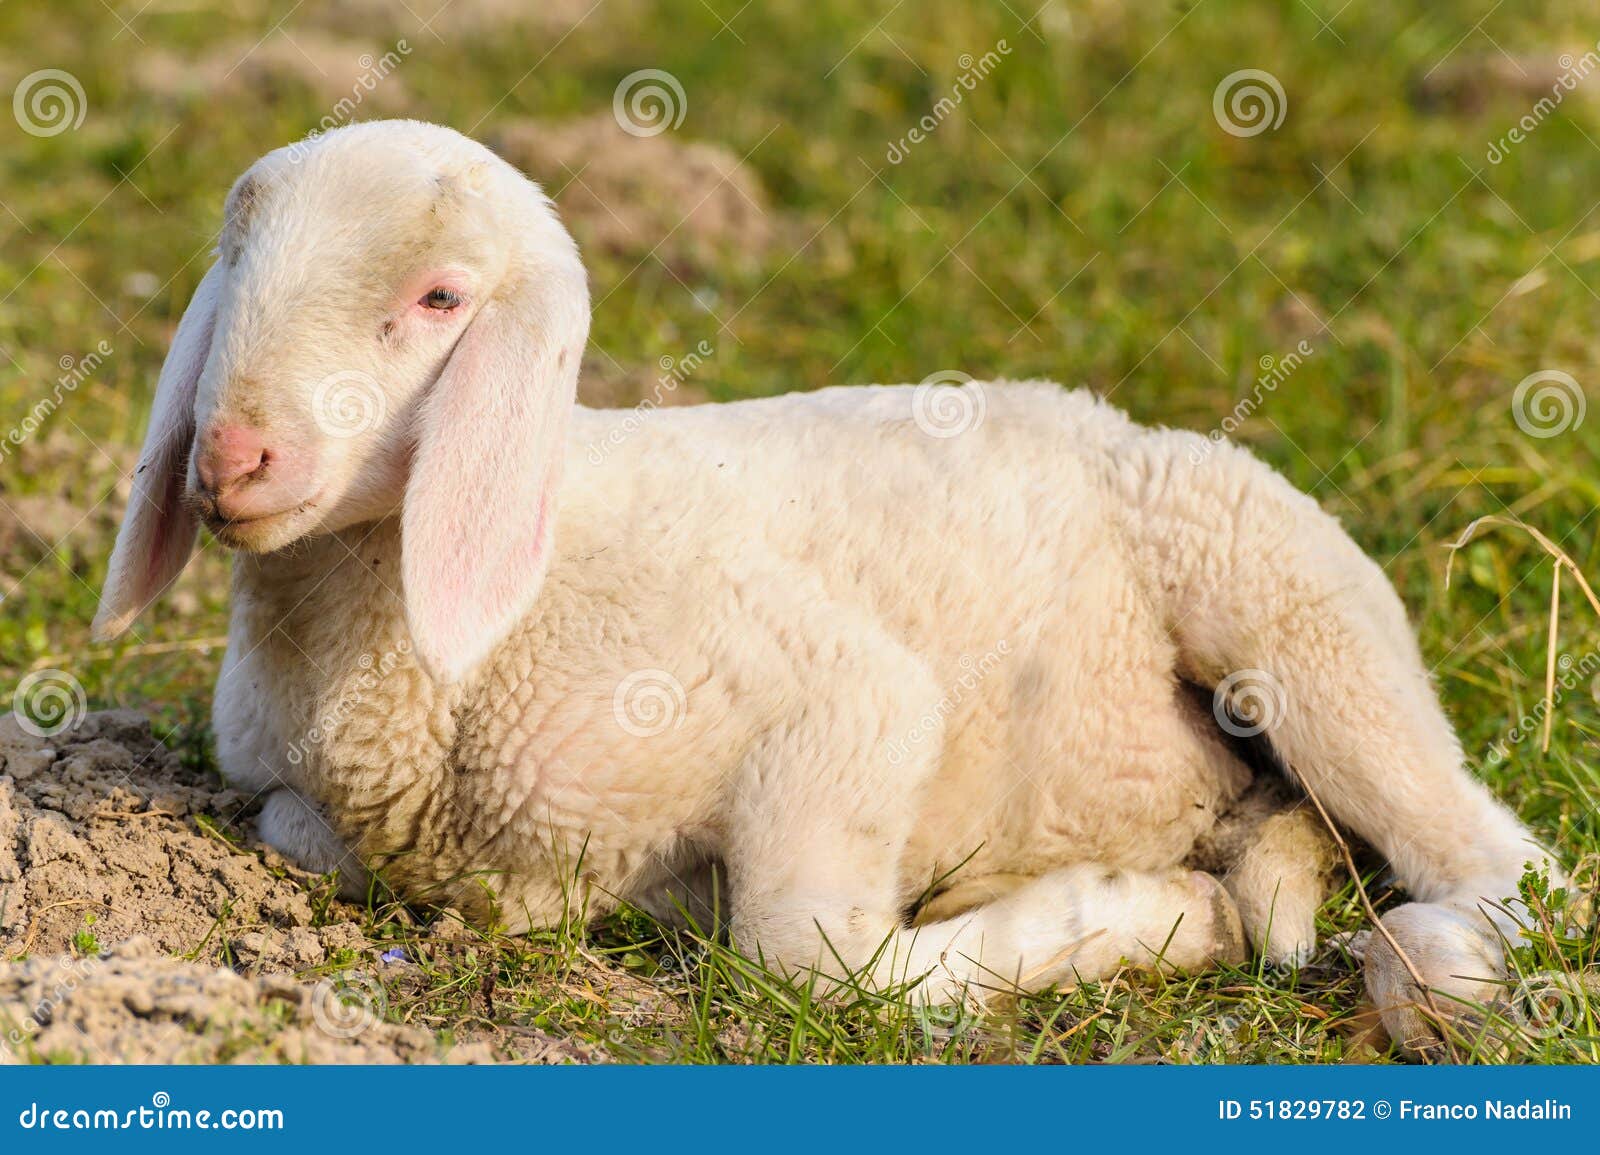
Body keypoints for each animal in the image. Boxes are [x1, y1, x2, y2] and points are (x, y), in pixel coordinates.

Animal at [94, 119, 1557, 1057]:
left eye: (442, 298)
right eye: (233, 271)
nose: (230, 459)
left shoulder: (847, 701)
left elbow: (809, 958)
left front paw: (1146, 919)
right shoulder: (292, 800)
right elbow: (311, 835)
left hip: (1285, 603)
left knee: (1498, 858)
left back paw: (1434, 981)